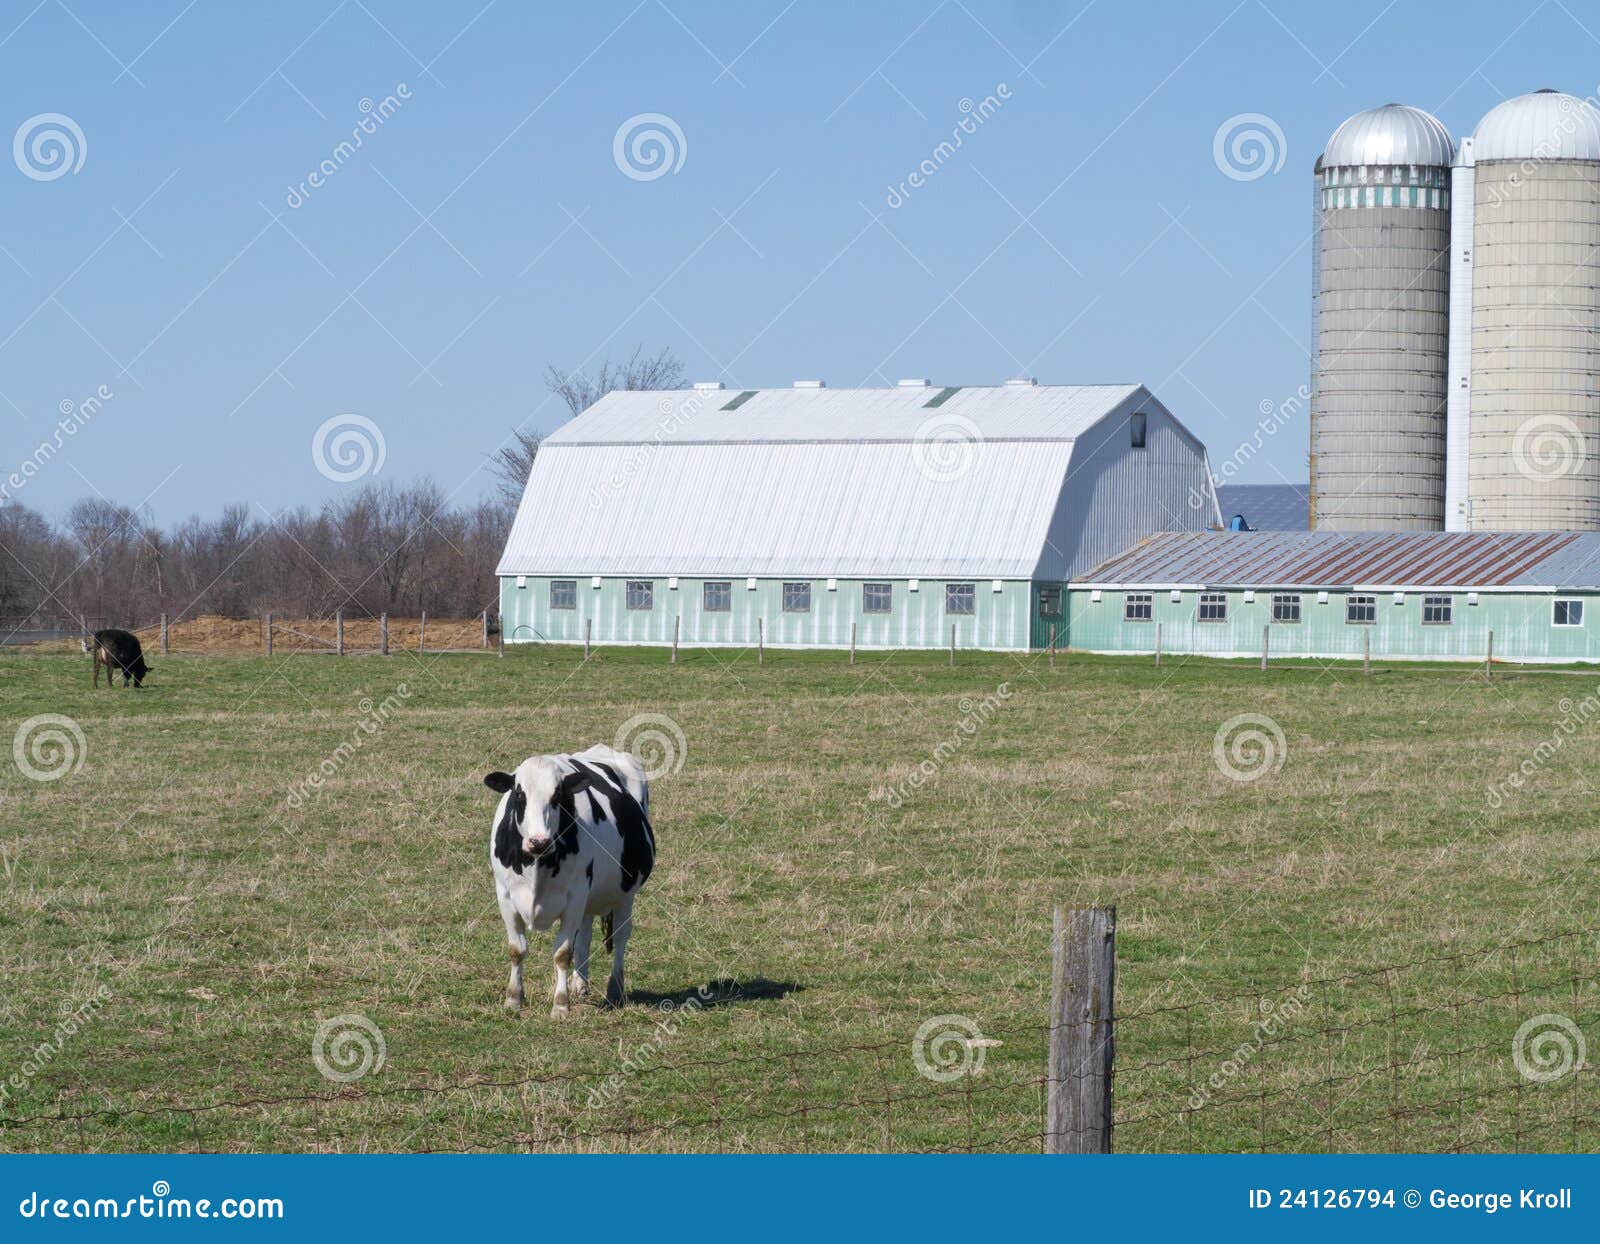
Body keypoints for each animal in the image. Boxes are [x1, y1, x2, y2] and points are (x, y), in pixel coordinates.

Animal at [484, 744, 656, 1017]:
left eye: (557, 797)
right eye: (519, 795)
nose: (539, 842)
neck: (538, 865)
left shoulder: (575, 896)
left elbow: (563, 953)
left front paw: (560, 1004)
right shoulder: (505, 895)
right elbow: (517, 949)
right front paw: (513, 999)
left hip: (625, 893)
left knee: (620, 935)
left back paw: (615, 989)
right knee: (585, 934)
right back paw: (580, 983)